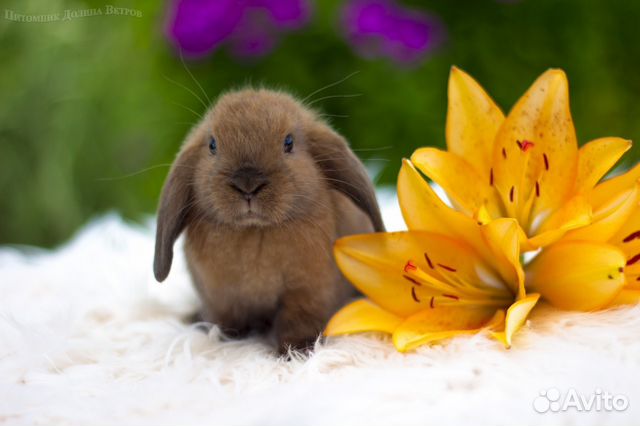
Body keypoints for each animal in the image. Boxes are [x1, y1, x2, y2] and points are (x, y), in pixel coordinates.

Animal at [153, 88, 385, 354]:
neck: (256, 232)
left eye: (289, 142)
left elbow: (298, 322)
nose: (248, 183)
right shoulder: (221, 298)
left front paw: (298, 350)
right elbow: (224, 322)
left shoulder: (307, 293)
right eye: (212, 145)